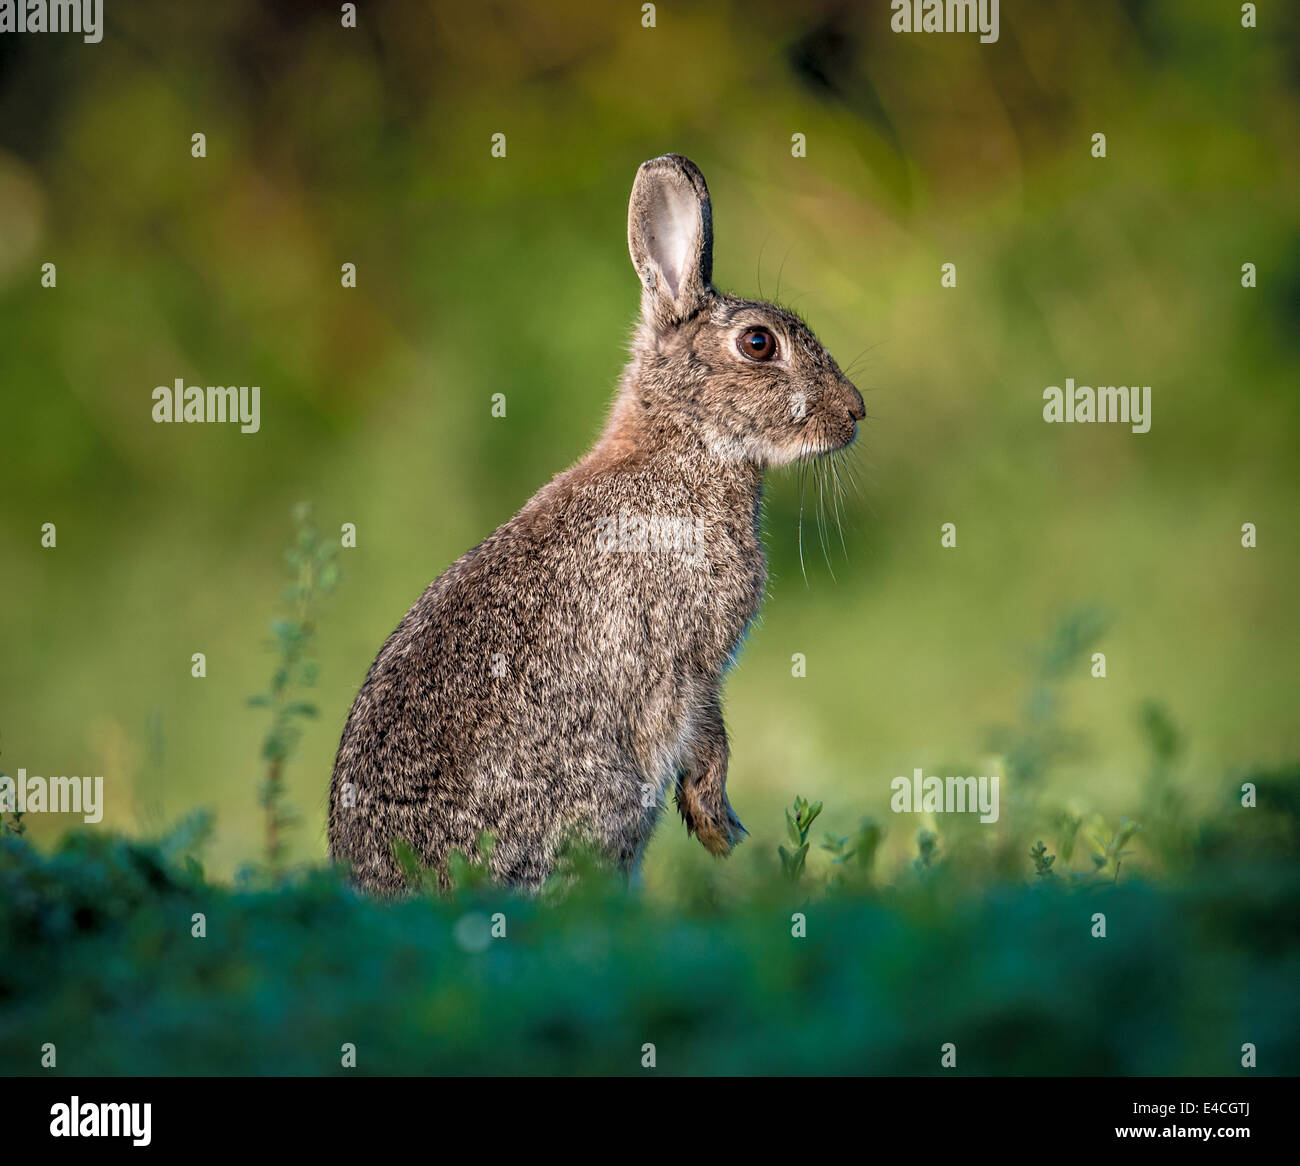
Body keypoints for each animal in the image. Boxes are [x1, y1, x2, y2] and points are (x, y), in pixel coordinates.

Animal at [328, 154, 865, 892]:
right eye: (759, 343)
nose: (856, 412)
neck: (685, 441)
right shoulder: (689, 659)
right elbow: (705, 734)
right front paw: (718, 827)